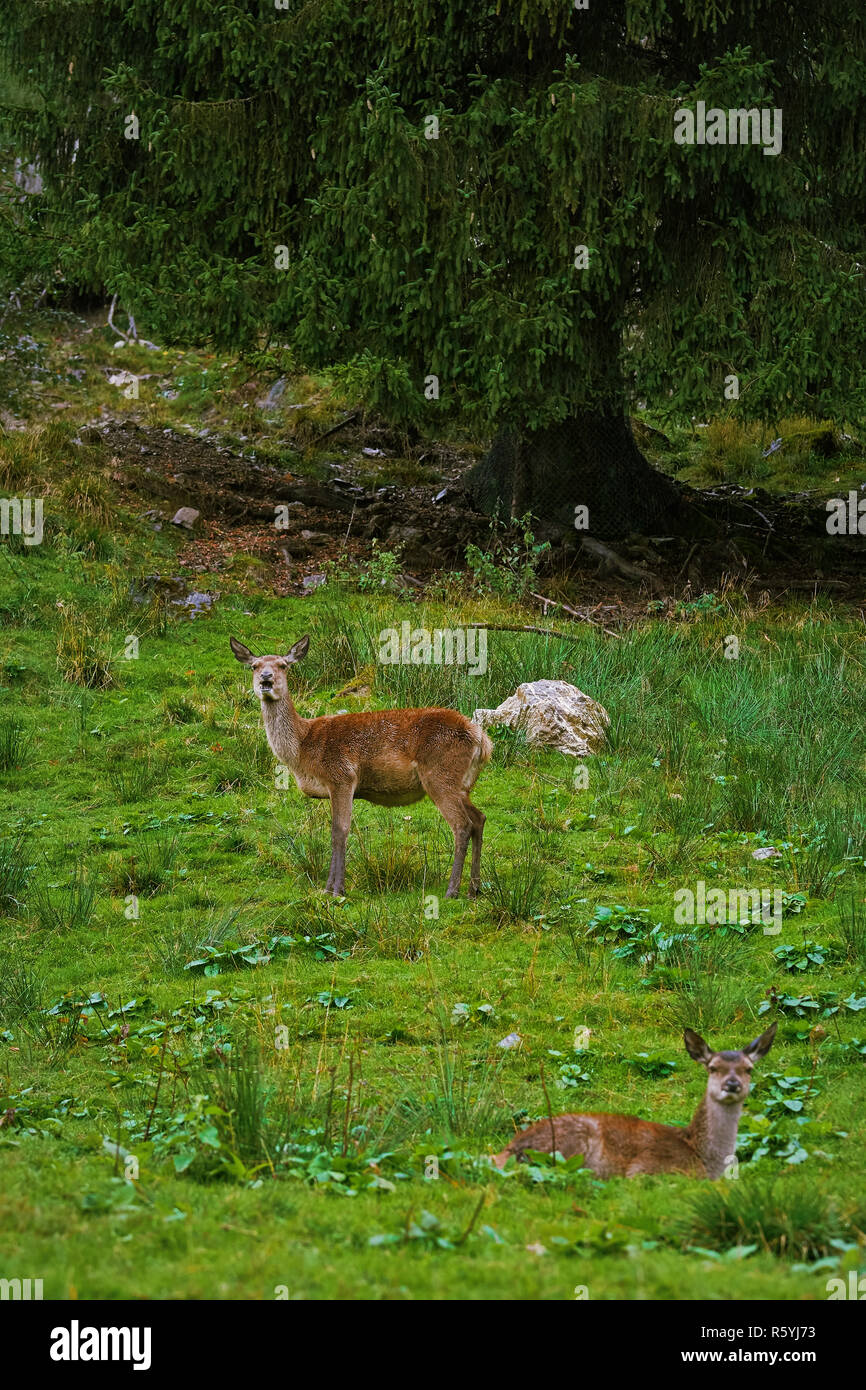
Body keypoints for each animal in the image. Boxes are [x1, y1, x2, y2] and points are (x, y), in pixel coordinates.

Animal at [230, 634, 492, 898]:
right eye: (254, 666)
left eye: (283, 665)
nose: (265, 678)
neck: (303, 751)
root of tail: (482, 741)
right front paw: (332, 887)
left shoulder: (341, 776)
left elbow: (339, 831)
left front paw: (335, 889)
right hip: (462, 784)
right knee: (479, 818)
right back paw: (474, 888)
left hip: (440, 775)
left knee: (462, 825)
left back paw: (452, 890)